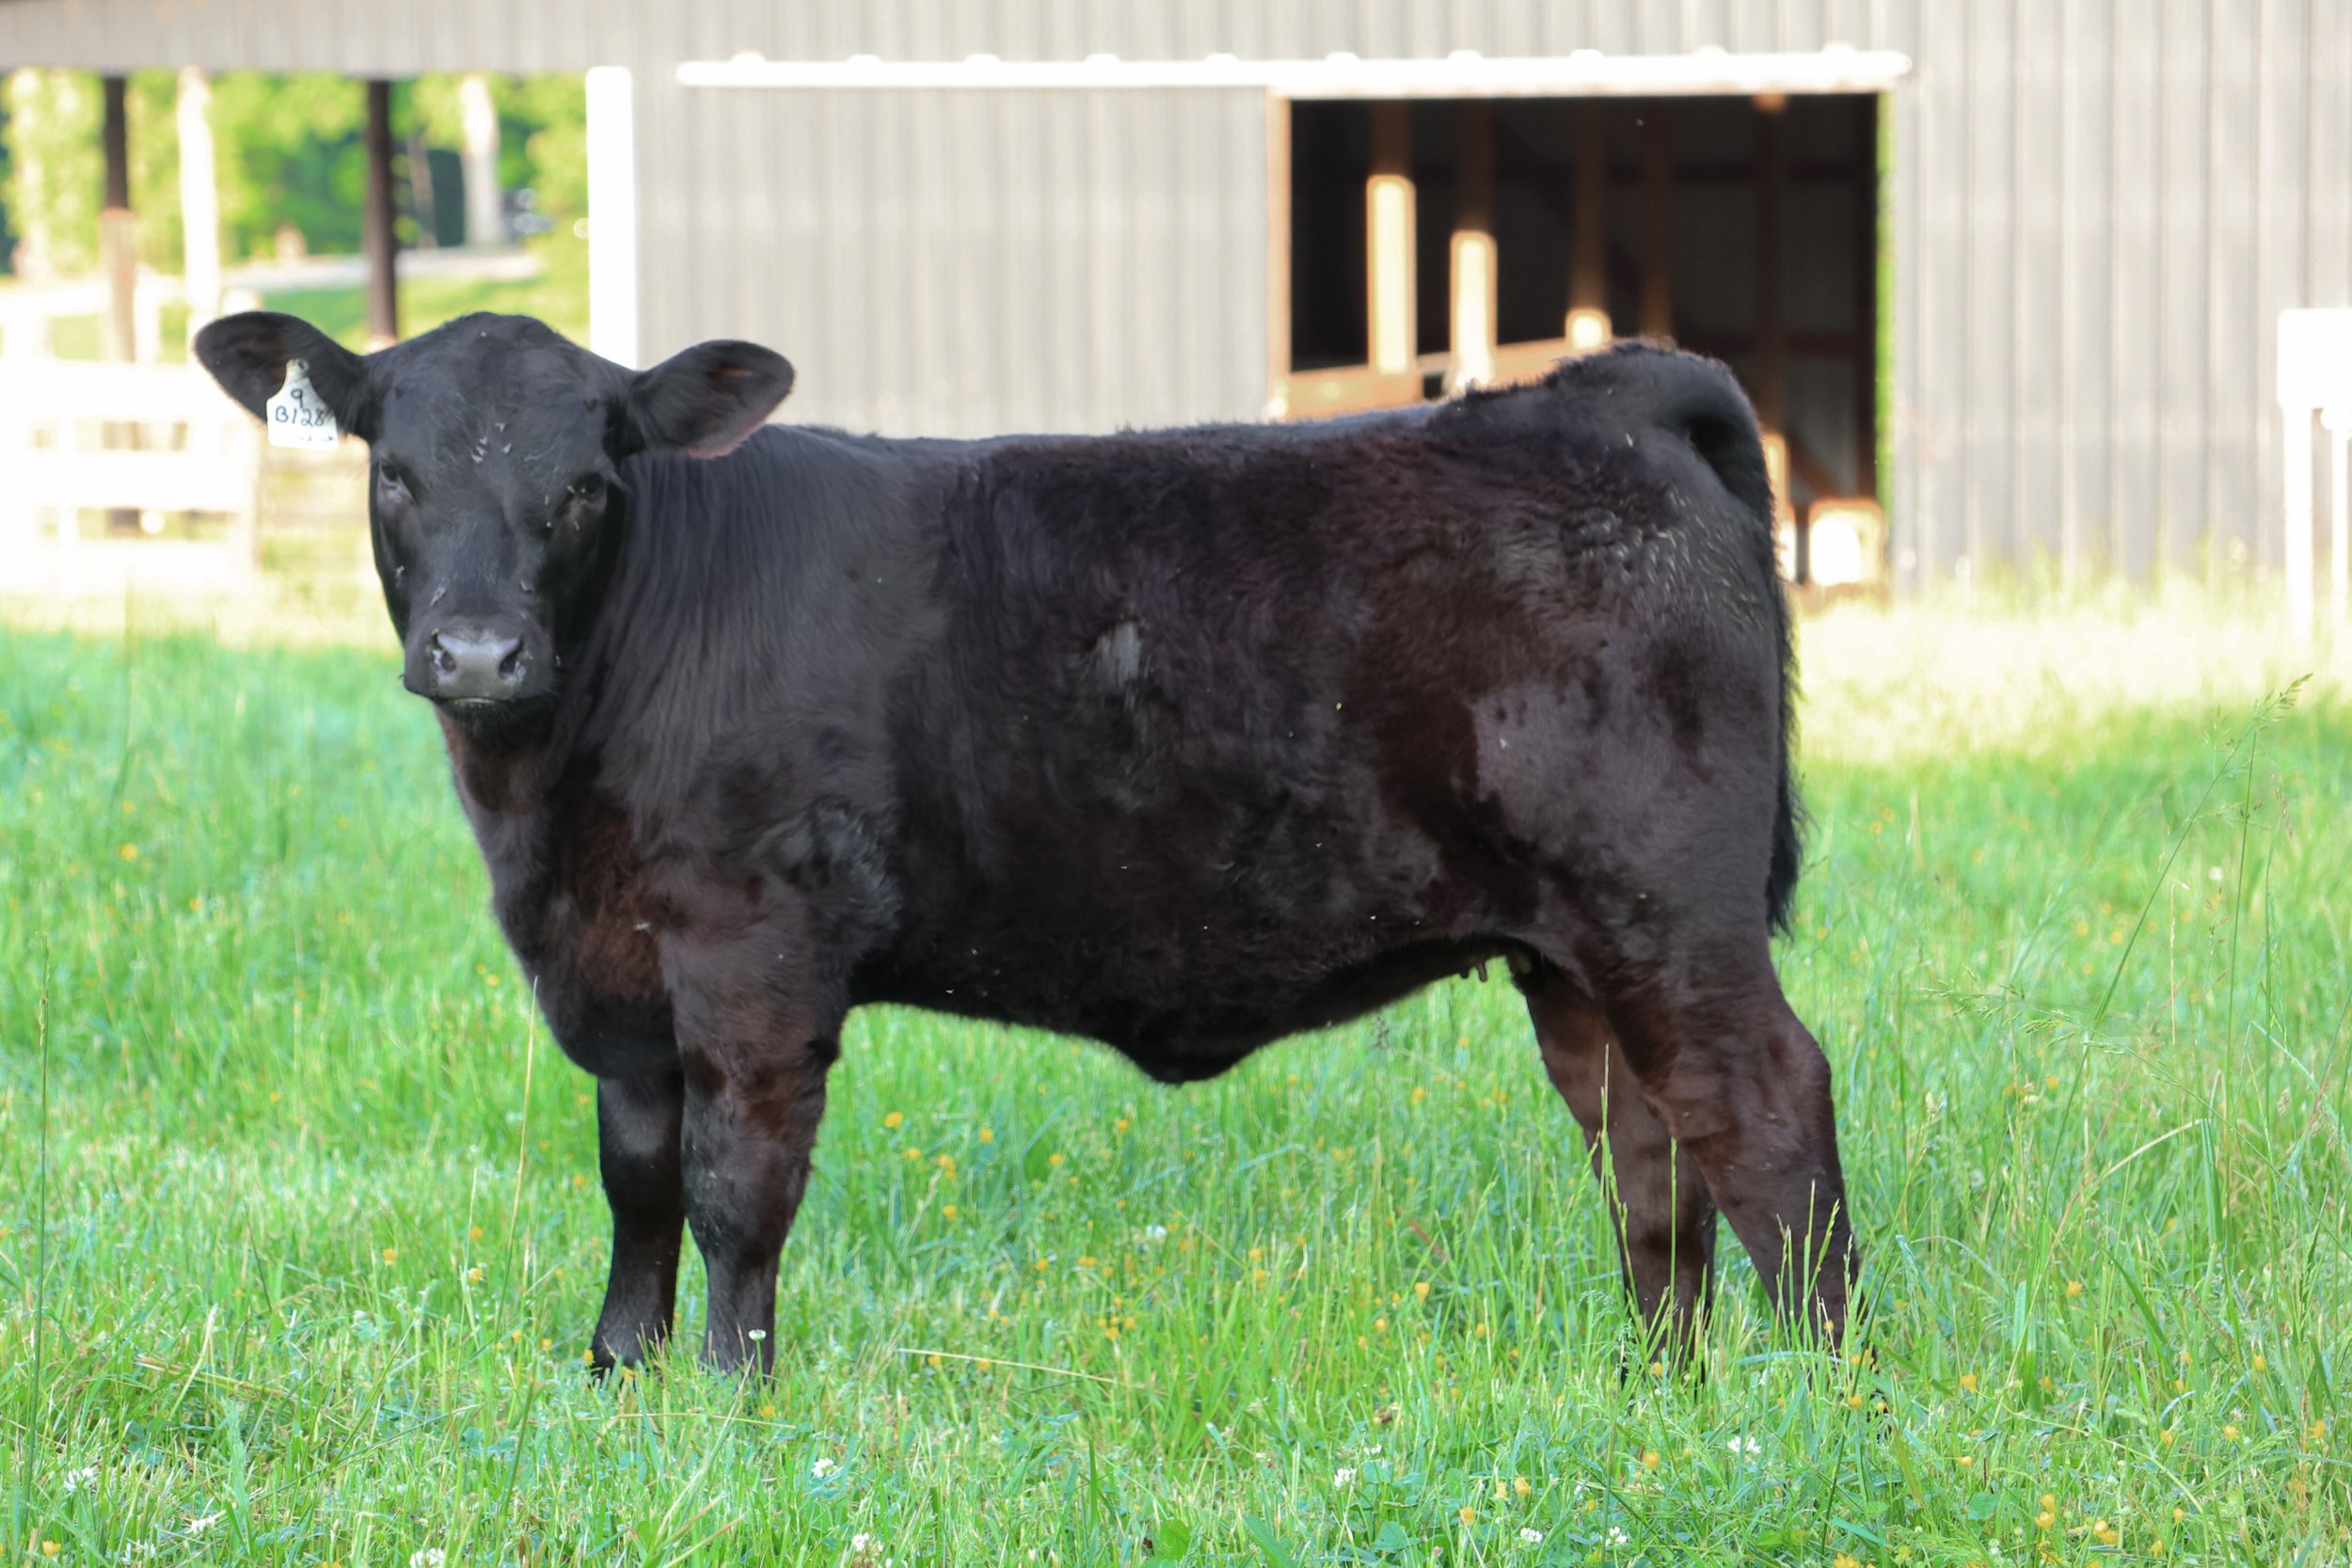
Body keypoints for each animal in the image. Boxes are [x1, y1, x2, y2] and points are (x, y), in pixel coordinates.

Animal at [194, 310, 1858, 1374]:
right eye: (393, 473)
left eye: (587, 486)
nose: (479, 652)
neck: (549, 805)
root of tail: (1593, 397)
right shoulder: (617, 977)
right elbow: (638, 1179)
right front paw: (615, 1373)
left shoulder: (752, 952)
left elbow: (737, 1184)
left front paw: (730, 1394)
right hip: (1574, 946)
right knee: (1648, 1142)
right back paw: (1665, 1381)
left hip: (1671, 908)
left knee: (1765, 1101)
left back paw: (1818, 1383)